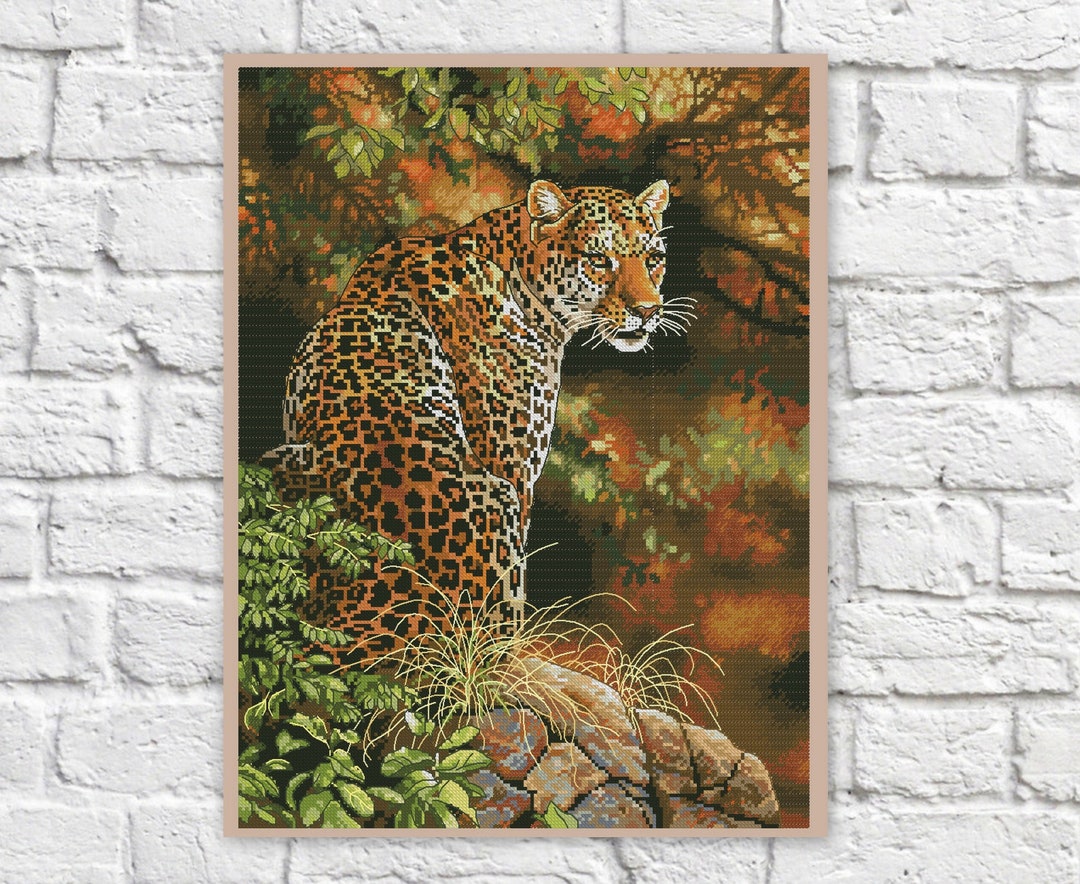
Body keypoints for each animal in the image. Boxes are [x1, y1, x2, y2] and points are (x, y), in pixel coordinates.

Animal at [261, 179, 690, 663]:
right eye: (599, 260)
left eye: (653, 259)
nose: (649, 310)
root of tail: (342, 634)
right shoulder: (514, 469)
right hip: (490, 501)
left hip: (283, 460)